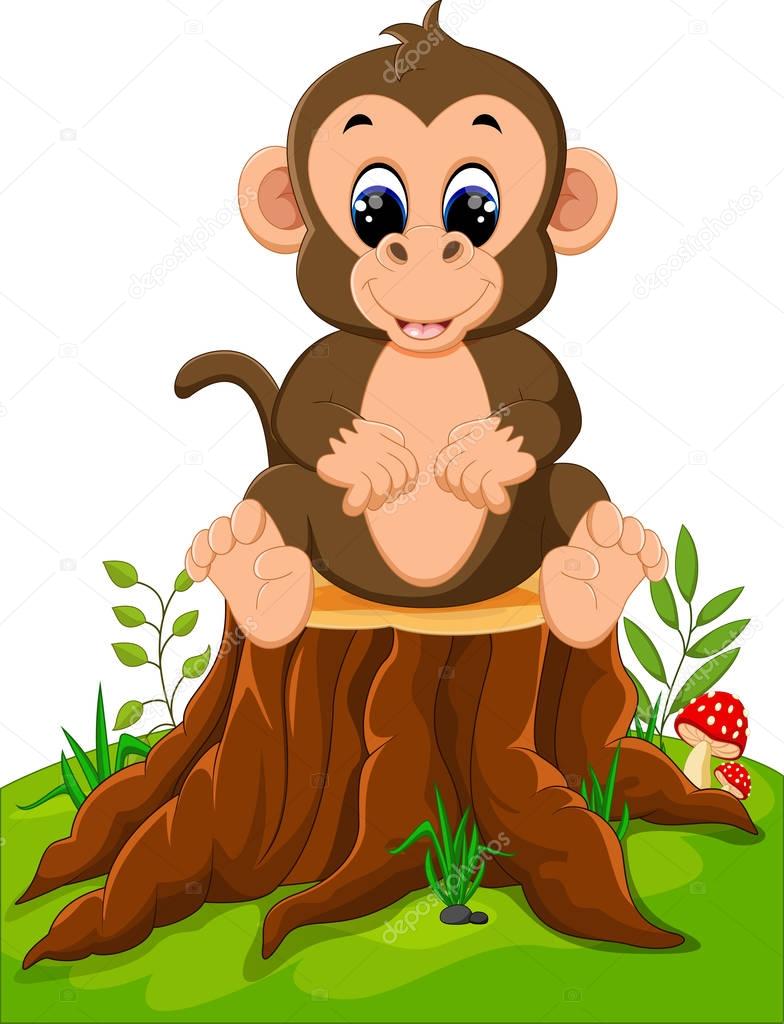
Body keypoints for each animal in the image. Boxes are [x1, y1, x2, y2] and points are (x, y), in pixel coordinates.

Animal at [177, 1, 668, 650]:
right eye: (374, 209)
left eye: (477, 209)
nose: (427, 248)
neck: (425, 351)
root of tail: (423, 602)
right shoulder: (329, 354)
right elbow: (298, 413)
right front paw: (364, 454)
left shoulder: (526, 354)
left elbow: (559, 411)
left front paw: (487, 451)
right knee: (276, 491)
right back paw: (255, 572)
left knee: (575, 485)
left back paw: (598, 574)